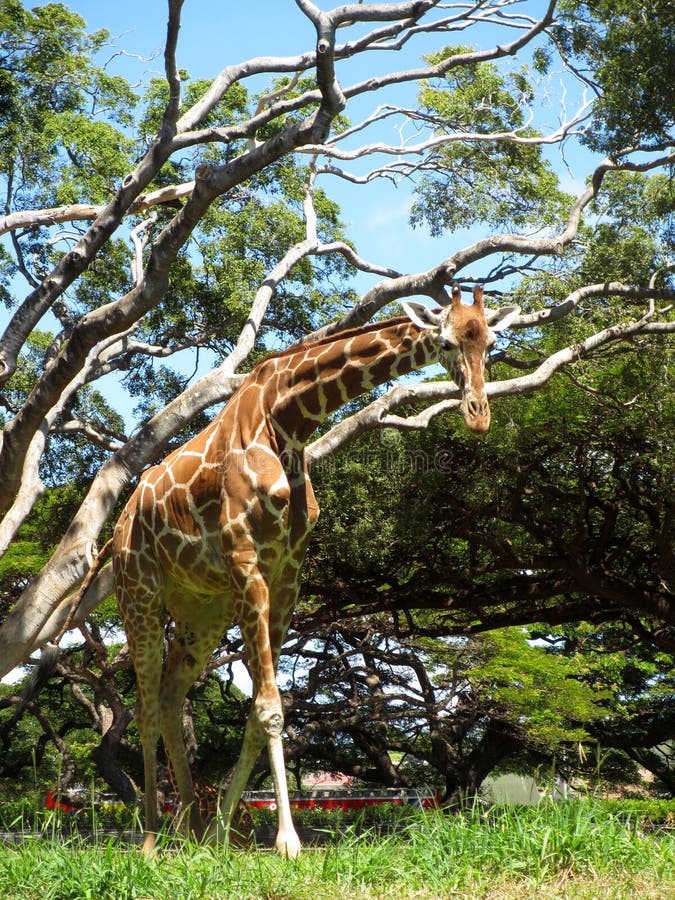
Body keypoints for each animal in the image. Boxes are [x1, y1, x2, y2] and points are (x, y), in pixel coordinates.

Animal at [112, 285, 519, 857]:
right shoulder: (245, 560)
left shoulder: (287, 573)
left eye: (490, 344)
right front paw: (288, 841)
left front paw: (222, 834)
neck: (290, 420)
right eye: (446, 342)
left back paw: (189, 832)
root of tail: (122, 518)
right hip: (139, 593)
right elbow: (269, 707)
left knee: (171, 697)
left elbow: (258, 714)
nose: (479, 415)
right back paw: (151, 838)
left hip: (203, 610)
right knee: (146, 706)